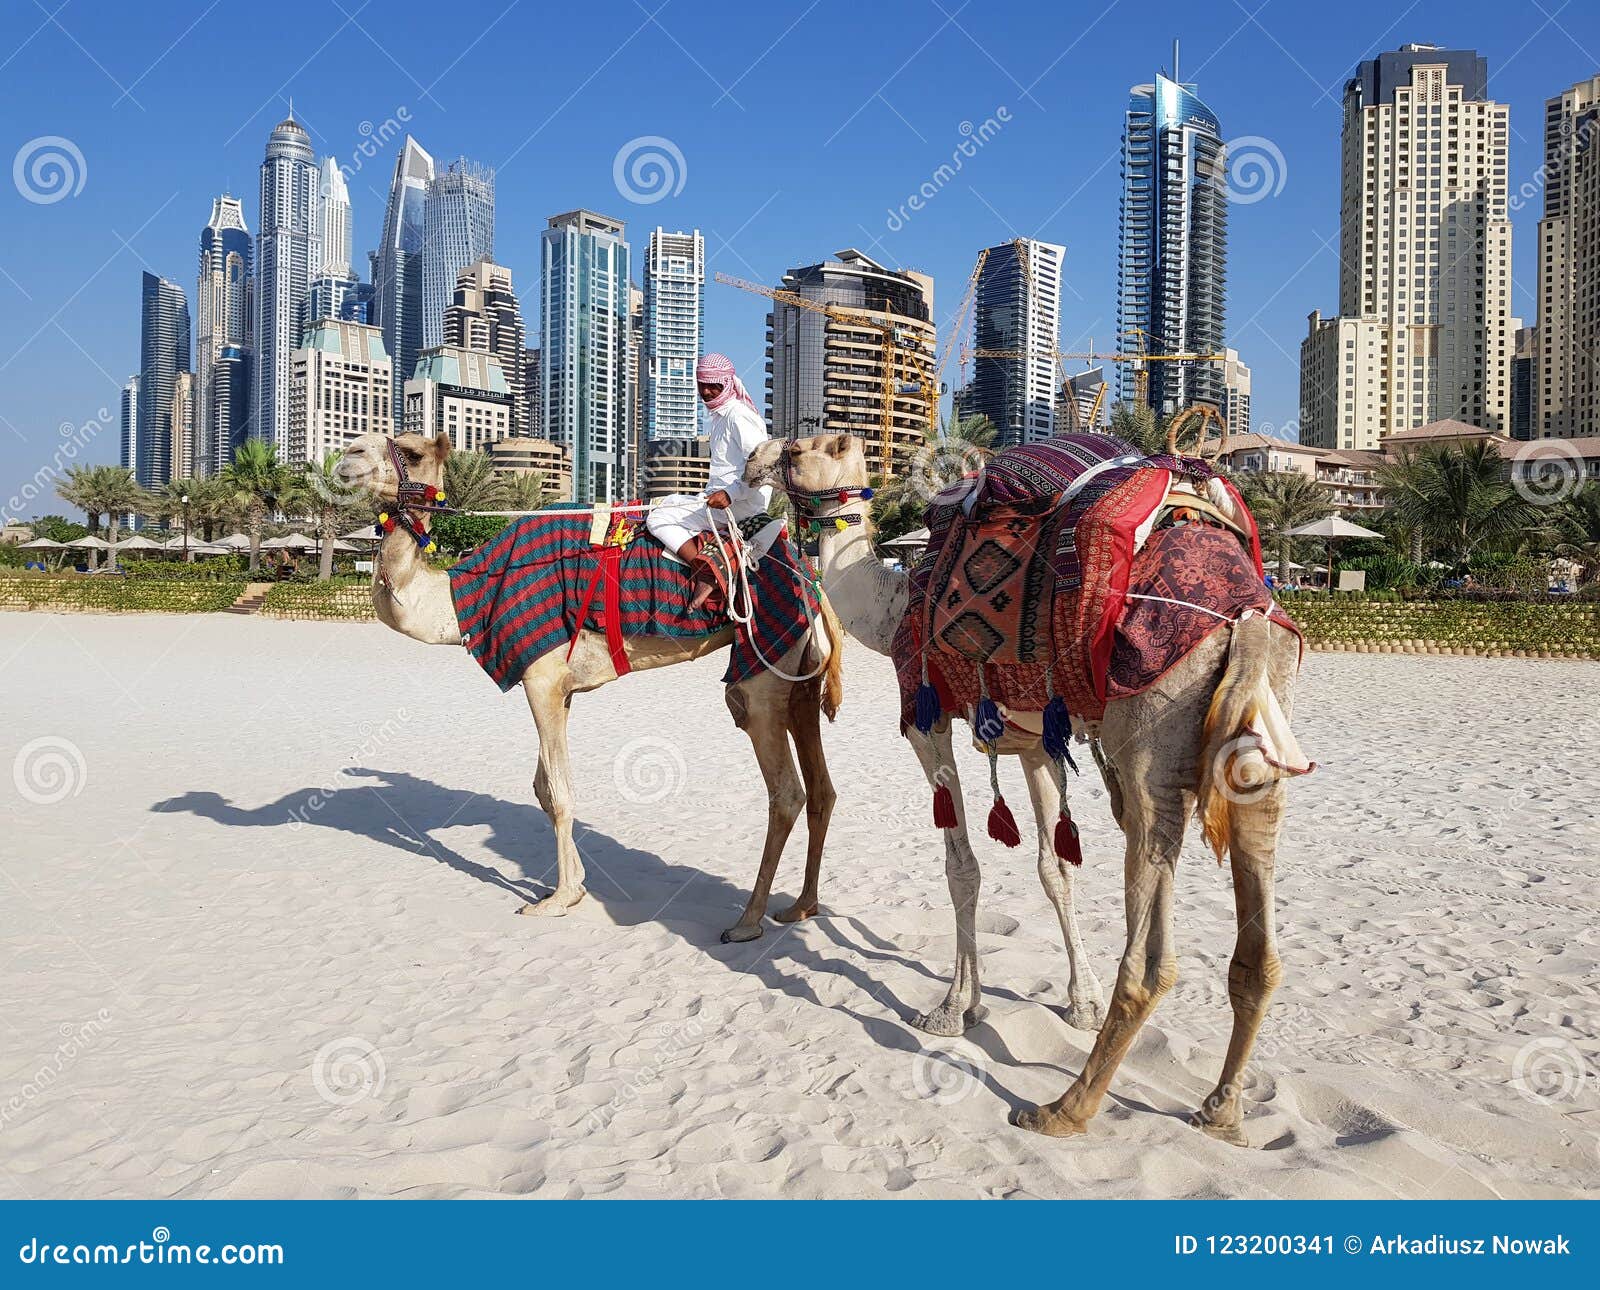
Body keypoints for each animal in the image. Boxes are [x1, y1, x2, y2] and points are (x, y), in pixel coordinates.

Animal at [340, 431, 844, 944]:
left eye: (412, 451)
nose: (347, 456)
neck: (462, 600)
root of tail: (811, 580)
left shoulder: (539, 678)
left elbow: (559, 792)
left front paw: (558, 900)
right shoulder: (562, 690)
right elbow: (543, 788)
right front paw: (574, 886)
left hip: (762, 671)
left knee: (785, 790)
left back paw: (747, 921)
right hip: (800, 681)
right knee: (821, 788)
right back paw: (802, 906)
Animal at [748, 434, 1303, 1144]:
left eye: (800, 447)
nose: (756, 460)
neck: (893, 602)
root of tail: (1249, 617)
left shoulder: (927, 718)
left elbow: (962, 867)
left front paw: (953, 1009)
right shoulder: (1037, 740)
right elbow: (1051, 869)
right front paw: (1078, 1001)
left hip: (1151, 743)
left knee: (1152, 956)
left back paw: (1063, 1108)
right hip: (1259, 743)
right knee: (1260, 943)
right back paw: (1221, 1110)